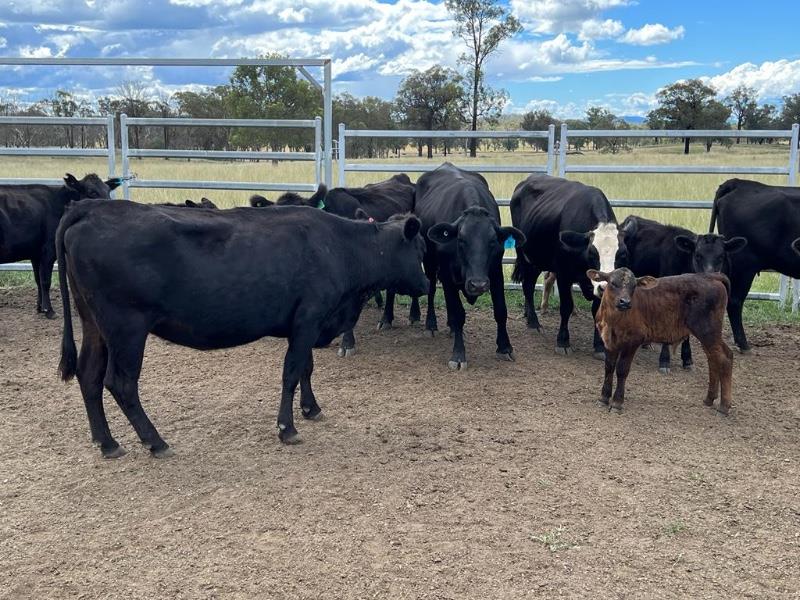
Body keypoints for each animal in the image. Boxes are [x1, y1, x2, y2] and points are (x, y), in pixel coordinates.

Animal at [0, 173, 121, 317]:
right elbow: (45, 281)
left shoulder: (36, 253)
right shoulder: (48, 250)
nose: (110, 208)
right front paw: (49, 311)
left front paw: (40, 308)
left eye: (108, 191)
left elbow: (38, 280)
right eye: (92, 192)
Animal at [56, 200, 428, 457]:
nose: (426, 285)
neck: (340, 249)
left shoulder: (305, 324)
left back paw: (107, 442)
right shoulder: (308, 319)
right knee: (121, 383)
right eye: (420, 249)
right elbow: (292, 372)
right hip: (126, 328)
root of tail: (91, 207)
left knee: (89, 374)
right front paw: (287, 427)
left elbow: (306, 368)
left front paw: (311, 409)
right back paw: (155, 441)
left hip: (94, 324)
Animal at [415, 162, 525, 370]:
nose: (478, 285)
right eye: (461, 240)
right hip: (430, 263)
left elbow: (501, 310)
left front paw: (504, 347)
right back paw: (431, 324)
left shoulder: (495, 273)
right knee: (432, 290)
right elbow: (459, 314)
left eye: (492, 242)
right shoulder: (447, 276)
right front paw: (458, 355)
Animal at [510, 174, 628, 359]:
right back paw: (534, 323)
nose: (605, 286)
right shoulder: (563, 275)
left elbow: (597, 310)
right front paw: (563, 341)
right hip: (526, 256)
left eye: (621, 254)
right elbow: (566, 306)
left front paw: (599, 346)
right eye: (592, 253)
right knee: (528, 286)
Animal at [588, 268, 733, 415]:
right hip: (708, 334)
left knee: (723, 358)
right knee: (714, 358)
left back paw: (723, 407)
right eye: (612, 283)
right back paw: (709, 398)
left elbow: (622, 369)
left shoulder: (633, 341)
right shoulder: (609, 341)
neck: (612, 320)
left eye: (634, 286)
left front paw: (617, 402)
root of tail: (711, 276)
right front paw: (604, 398)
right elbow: (609, 367)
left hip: (707, 330)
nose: (625, 302)